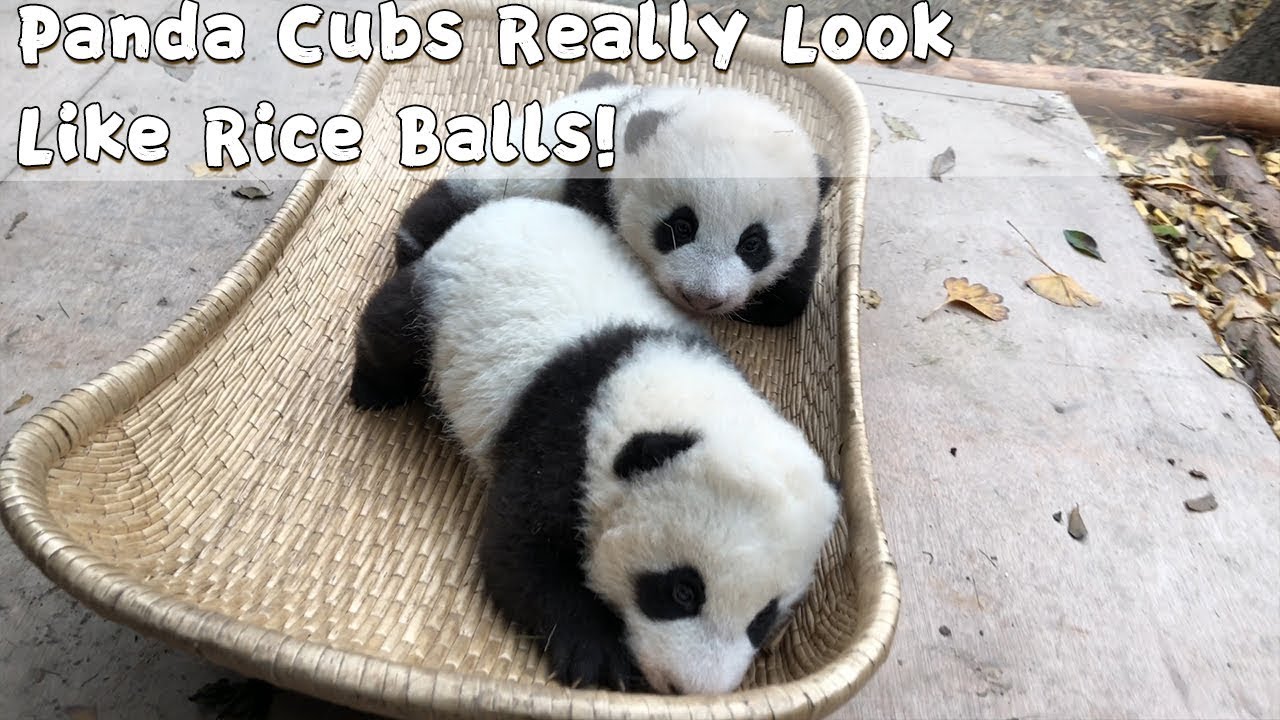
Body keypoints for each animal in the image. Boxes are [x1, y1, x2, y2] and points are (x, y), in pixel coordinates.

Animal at [352, 197, 840, 694]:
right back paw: (370, 391)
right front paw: (600, 657)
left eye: (763, 618)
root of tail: (501, 207)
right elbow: (517, 555)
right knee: (392, 331)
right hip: (438, 300)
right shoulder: (563, 433)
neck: (648, 374)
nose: (687, 688)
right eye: (682, 591)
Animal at [395, 72, 835, 328]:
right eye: (680, 226)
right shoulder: (595, 182)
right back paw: (411, 242)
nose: (701, 298)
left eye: (753, 243)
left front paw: (769, 306)